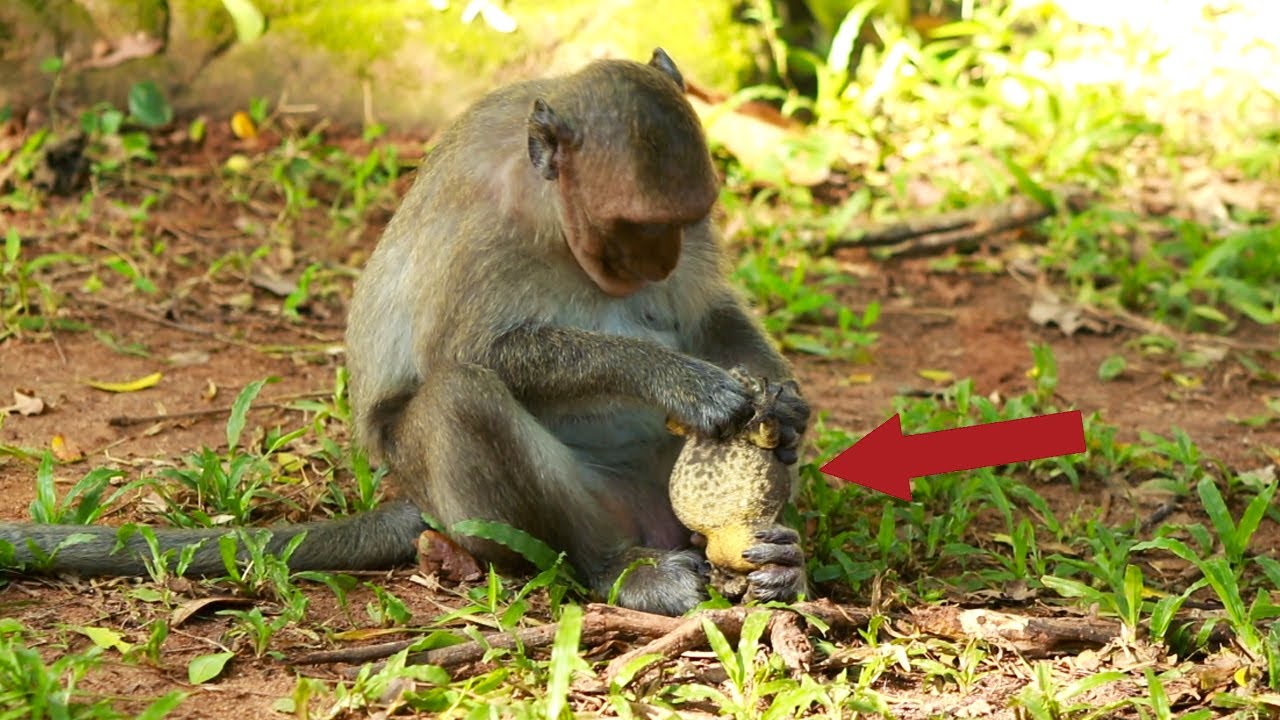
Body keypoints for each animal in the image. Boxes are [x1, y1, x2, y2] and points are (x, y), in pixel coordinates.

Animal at [0, 49, 810, 616]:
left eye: (684, 221)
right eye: (636, 229)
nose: (662, 260)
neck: (549, 206)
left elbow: (705, 315)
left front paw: (784, 395)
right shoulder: (485, 224)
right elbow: (476, 354)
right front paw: (680, 380)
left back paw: (773, 556)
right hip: (490, 514)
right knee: (460, 397)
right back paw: (620, 567)